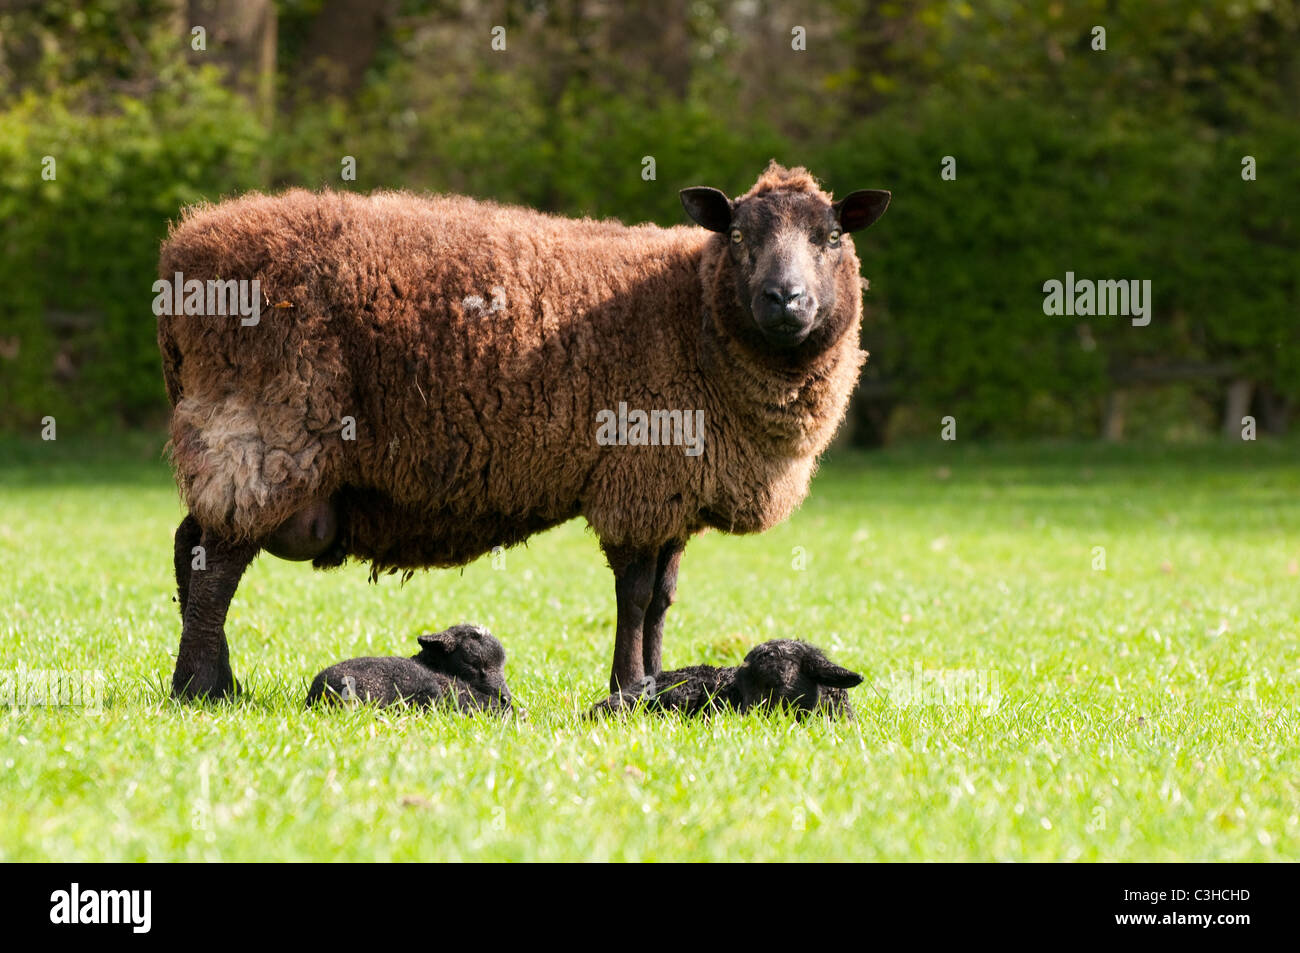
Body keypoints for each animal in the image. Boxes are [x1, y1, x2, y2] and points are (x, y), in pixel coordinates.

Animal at [157, 161, 890, 700]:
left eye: (830, 237)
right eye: (738, 237)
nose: (786, 300)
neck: (691, 313)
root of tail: (183, 246)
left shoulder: (674, 486)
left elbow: (662, 599)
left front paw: (654, 677)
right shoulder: (637, 476)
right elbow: (636, 595)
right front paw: (629, 684)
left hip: (235, 434)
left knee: (192, 543)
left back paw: (217, 678)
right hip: (262, 428)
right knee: (217, 560)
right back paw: (201, 687)